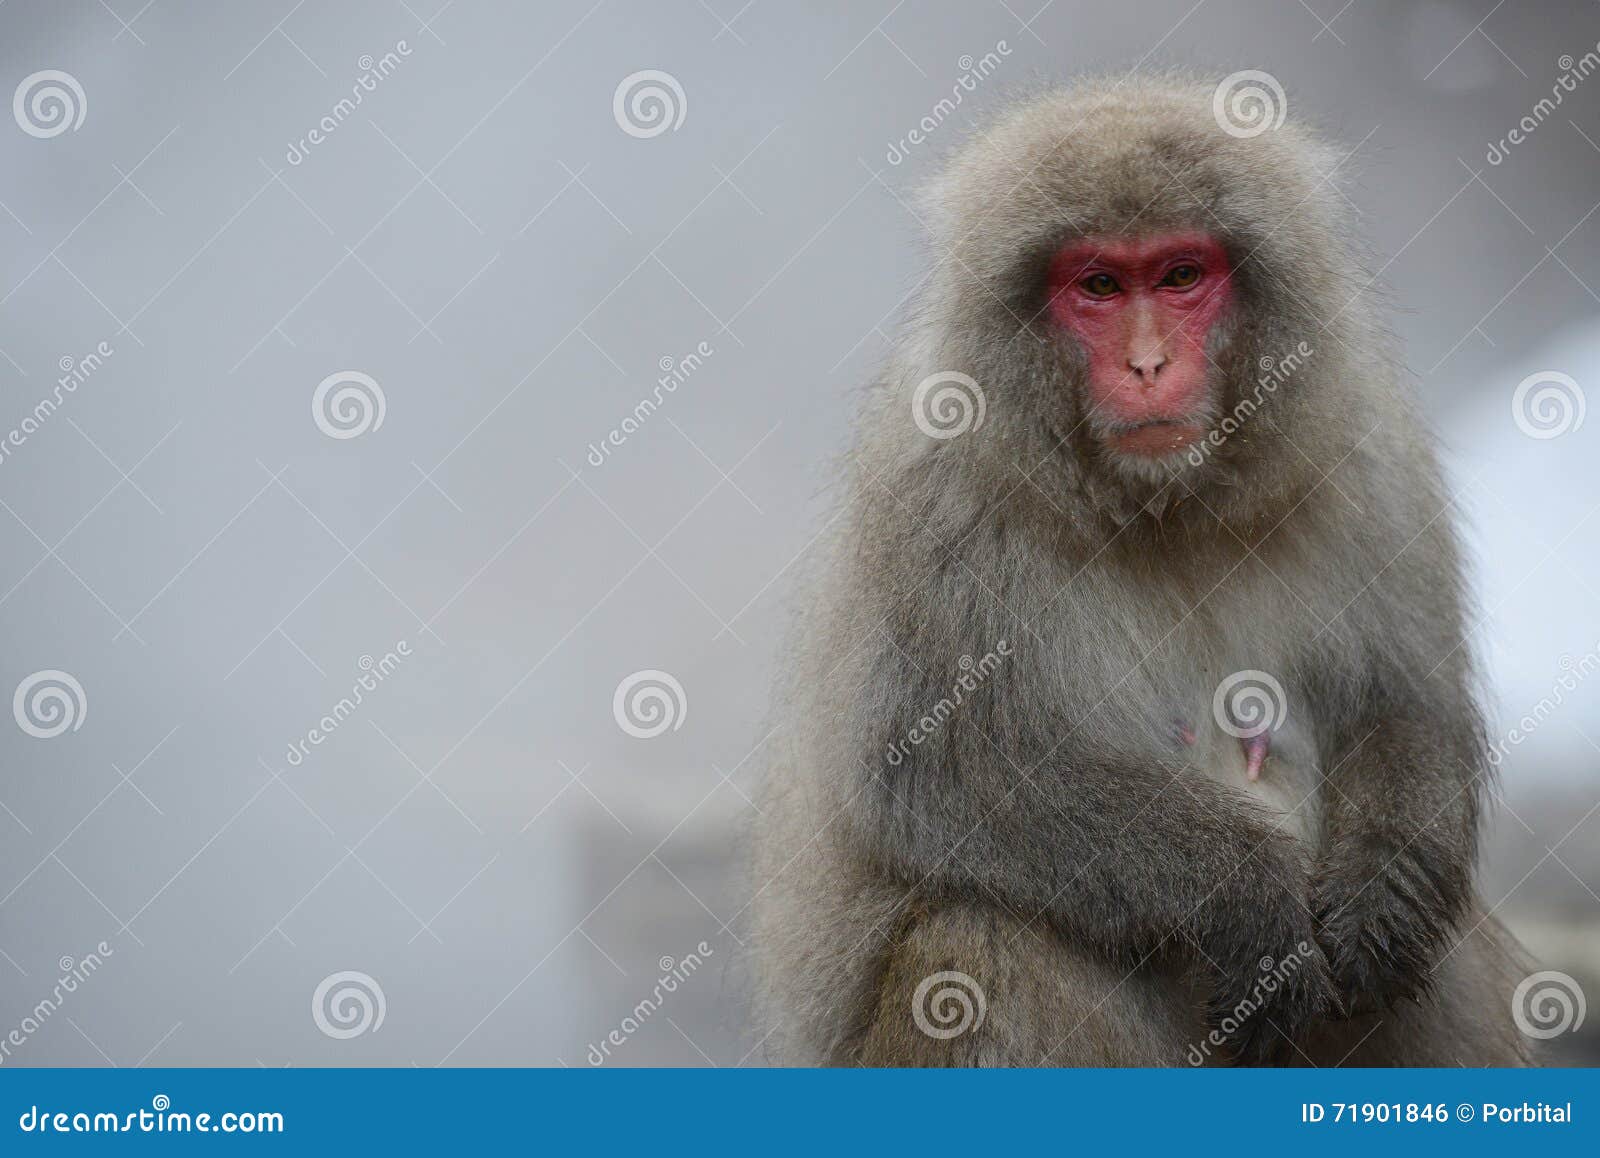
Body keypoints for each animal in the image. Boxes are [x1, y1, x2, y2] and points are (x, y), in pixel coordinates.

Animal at [746, 74, 1534, 1067]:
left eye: (1181, 275)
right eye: (1097, 286)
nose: (1148, 363)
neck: (1163, 509)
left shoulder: (1365, 440)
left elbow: (1404, 702)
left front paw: (1382, 894)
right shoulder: (934, 491)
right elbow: (938, 767)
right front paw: (1245, 896)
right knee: (982, 941)